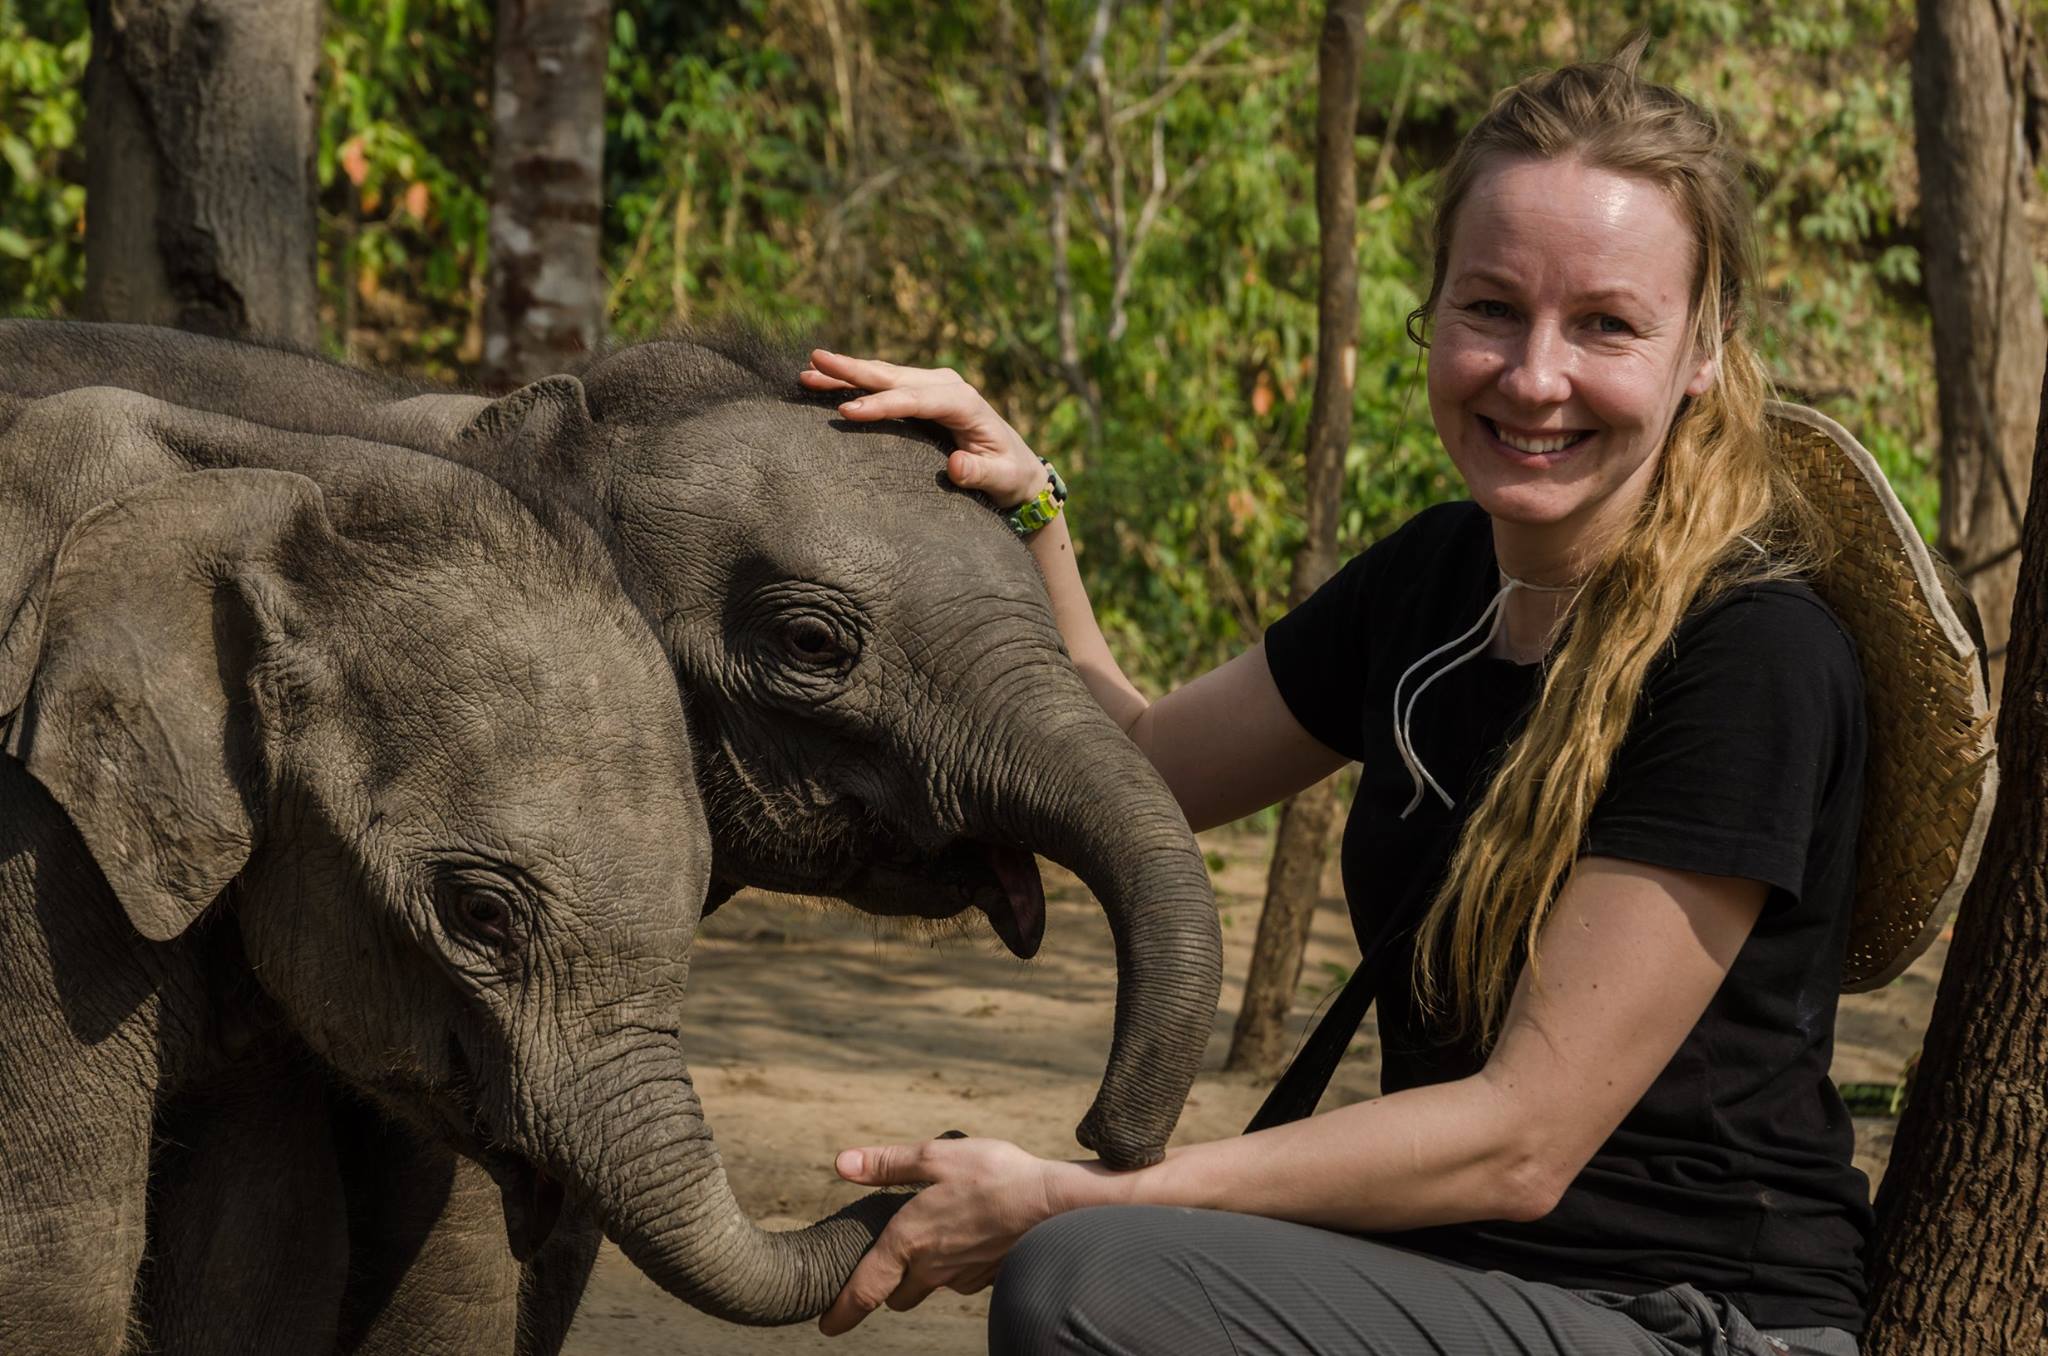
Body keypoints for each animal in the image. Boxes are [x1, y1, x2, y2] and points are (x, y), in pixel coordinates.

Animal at [0, 398, 902, 1353]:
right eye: (481, 912)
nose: (891, 1173)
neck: (281, 494)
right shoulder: (35, 848)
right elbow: (55, 1262)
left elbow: (258, 1251)